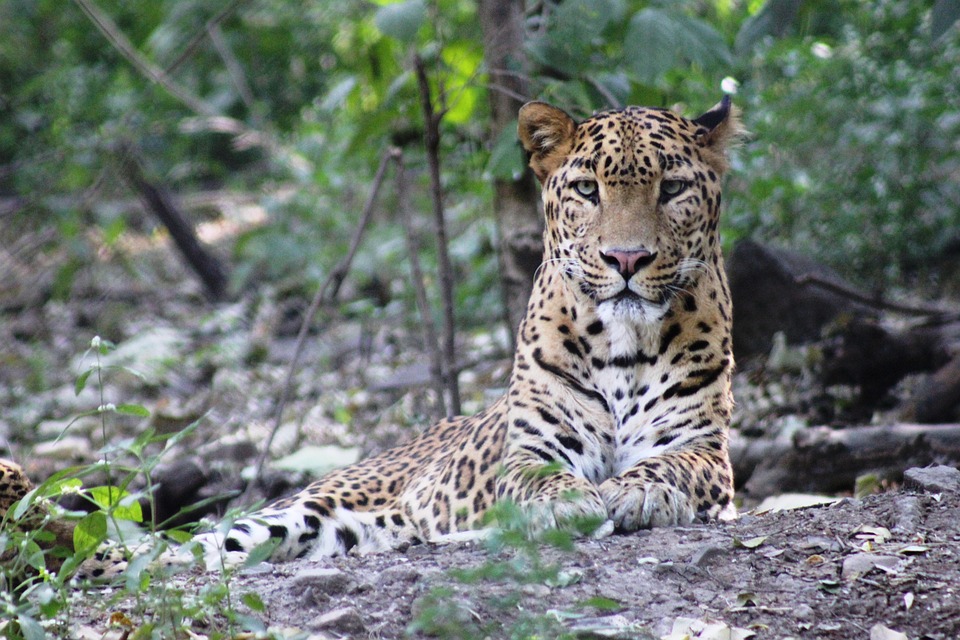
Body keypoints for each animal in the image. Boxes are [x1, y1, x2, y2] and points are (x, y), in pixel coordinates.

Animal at [0, 97, 742, 578]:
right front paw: (570, 502)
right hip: (294, 512)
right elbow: (538, 478)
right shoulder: (524, 452)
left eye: (672, 188)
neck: (624, 343)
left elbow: (673, 465)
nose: (626, 259)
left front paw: (638, 490)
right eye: (587, 190)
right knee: (175, 553)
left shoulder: (706, 449)